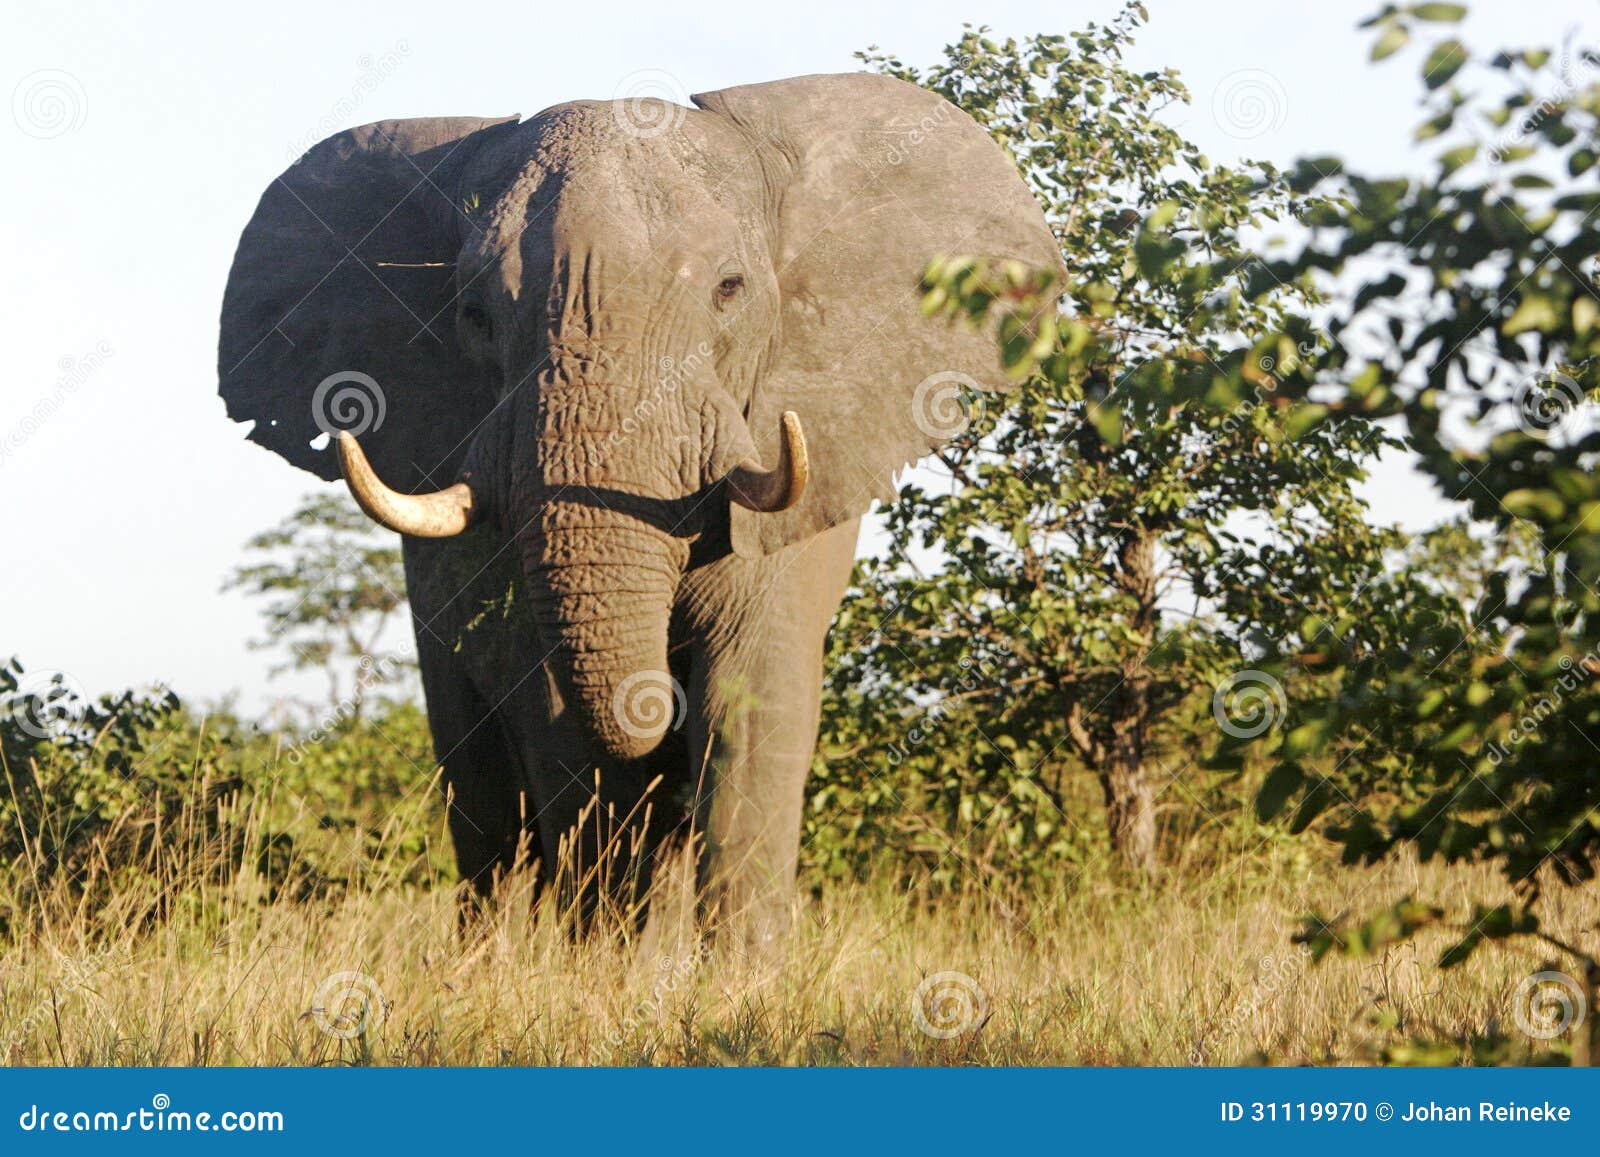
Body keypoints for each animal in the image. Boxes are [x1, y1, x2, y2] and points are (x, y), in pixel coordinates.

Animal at [217, 72, 1059, 951]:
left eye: (729, 290)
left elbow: (752, 705)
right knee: (486, 801)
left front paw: (744, 971)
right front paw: (611, 963)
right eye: (475, 315)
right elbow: (564, 728)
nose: (661, 687)